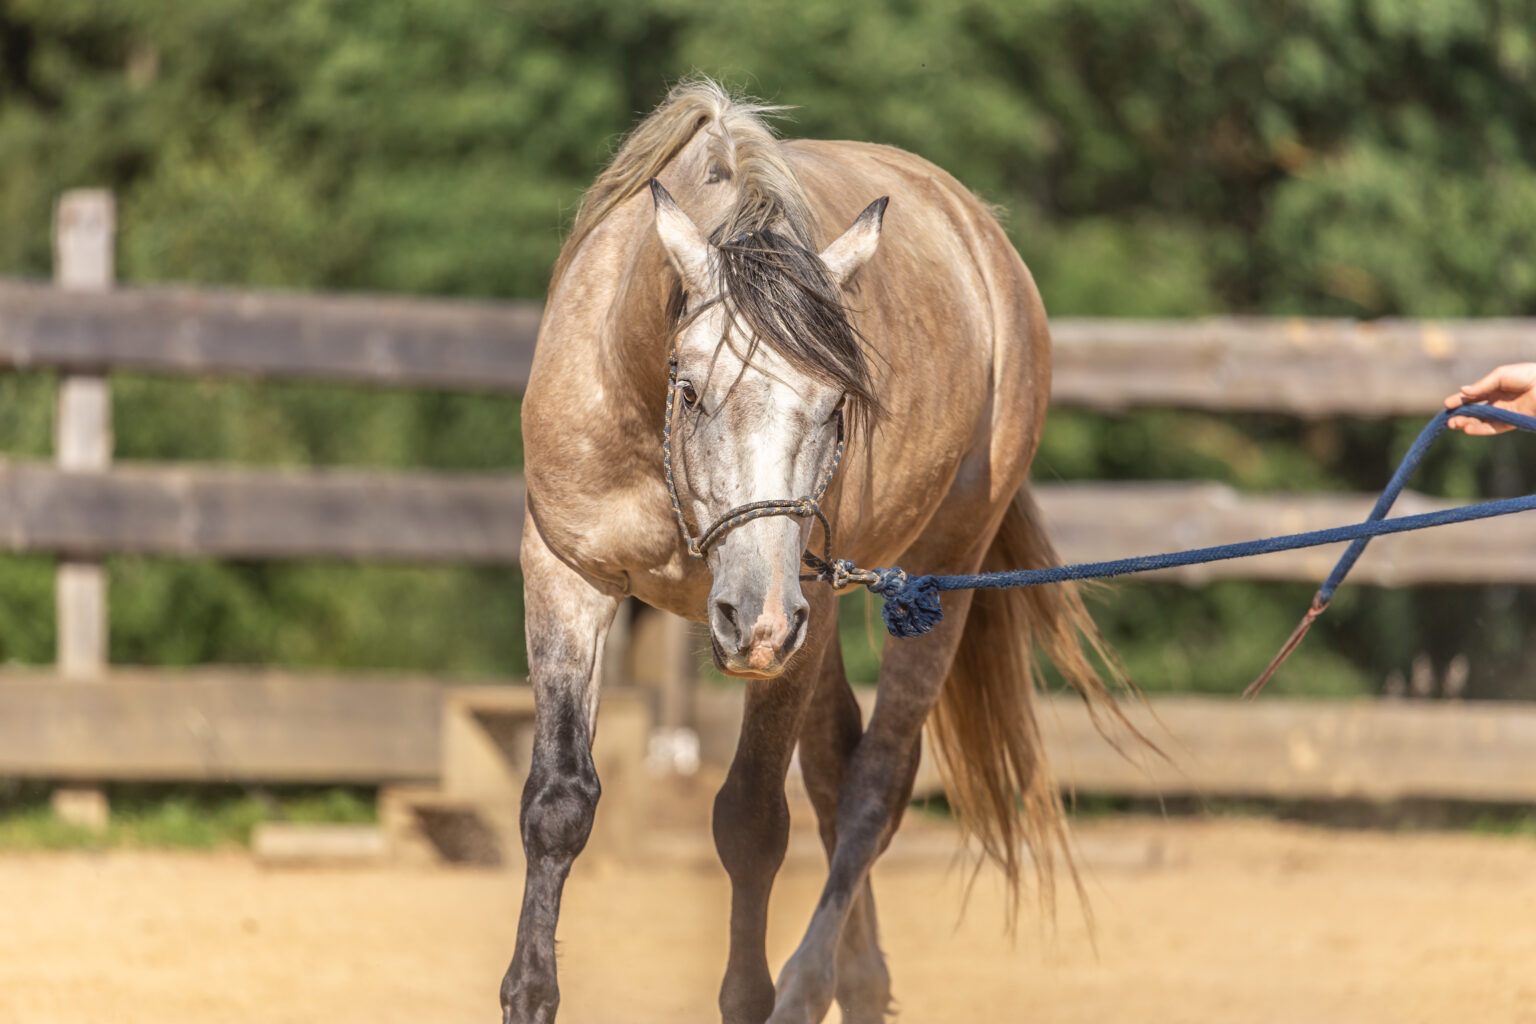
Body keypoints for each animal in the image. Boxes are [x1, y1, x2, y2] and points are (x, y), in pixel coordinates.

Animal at [504, 78, 1131, 1024]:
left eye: (838, 404)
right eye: (691, 385)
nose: (752, 618)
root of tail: (983, 237)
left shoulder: (795, 618)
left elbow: (752, 822)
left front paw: (757, 994)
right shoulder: (567, 575)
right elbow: (559, 801)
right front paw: (529, 991)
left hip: (922, 580)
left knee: (874, 786)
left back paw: (811, 983)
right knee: (838, 773)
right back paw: (860, 985)